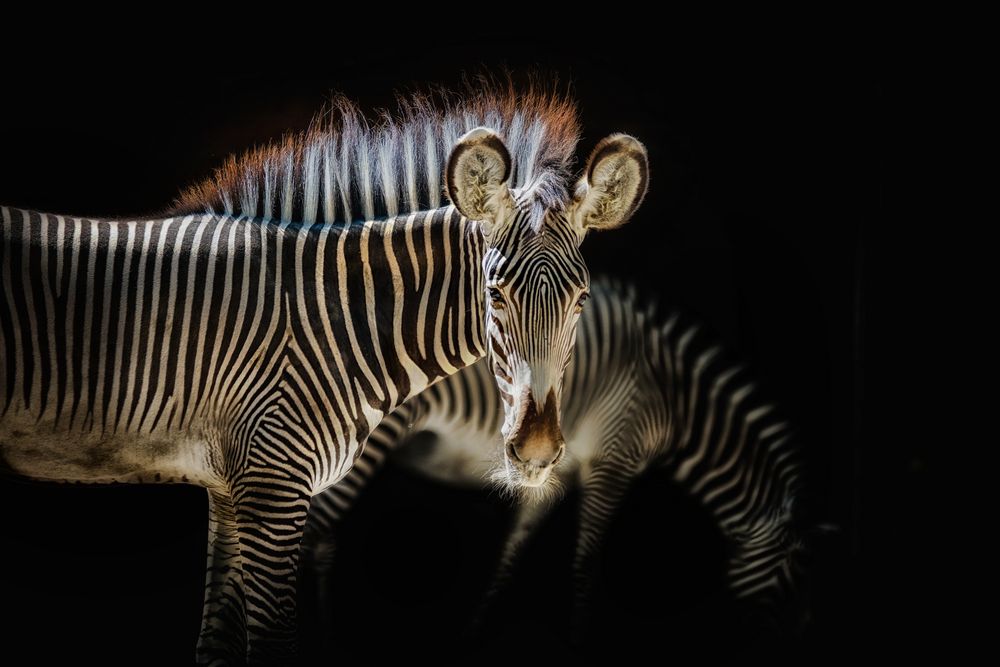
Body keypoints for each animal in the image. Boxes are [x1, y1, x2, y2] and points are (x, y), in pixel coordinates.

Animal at [0, 82, 649, 664]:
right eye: (494, 296)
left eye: (581, 300)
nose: (536, 451)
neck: (327, 319)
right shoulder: (273, 488)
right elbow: (274, 650)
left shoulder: (229, 489)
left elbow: (216, 650)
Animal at [302, 277, 813, 637]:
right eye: (792, 575)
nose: (788, 636)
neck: (677, 397)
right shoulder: (615, 459)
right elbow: (584, 567)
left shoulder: (552, 473)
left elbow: (510, 555)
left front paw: (473, 632)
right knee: (315, 532)